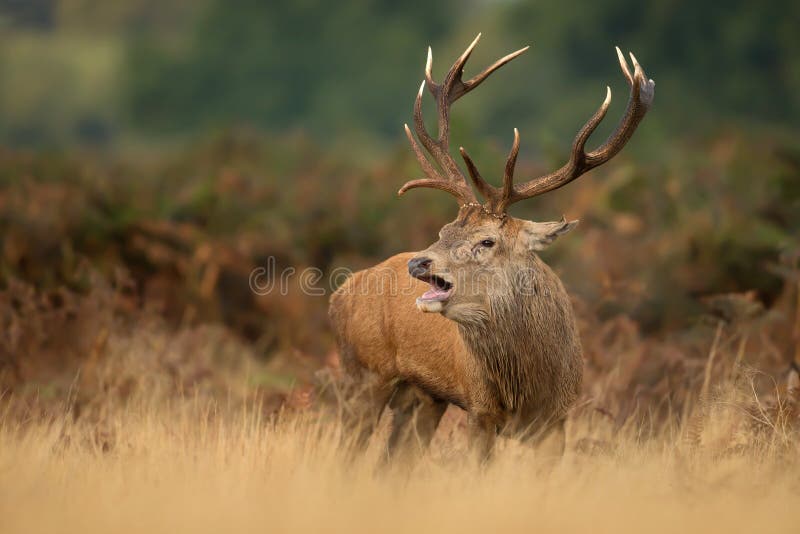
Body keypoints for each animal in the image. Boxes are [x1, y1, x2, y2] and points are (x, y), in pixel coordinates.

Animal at [329, 34, 654, 461]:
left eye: (487, 240)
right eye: (444, 229)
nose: (418, 263)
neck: (526, 387)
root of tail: (339, 294)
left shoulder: (559, 418)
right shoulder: (479, 409)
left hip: (421, 397)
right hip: (363, 373)